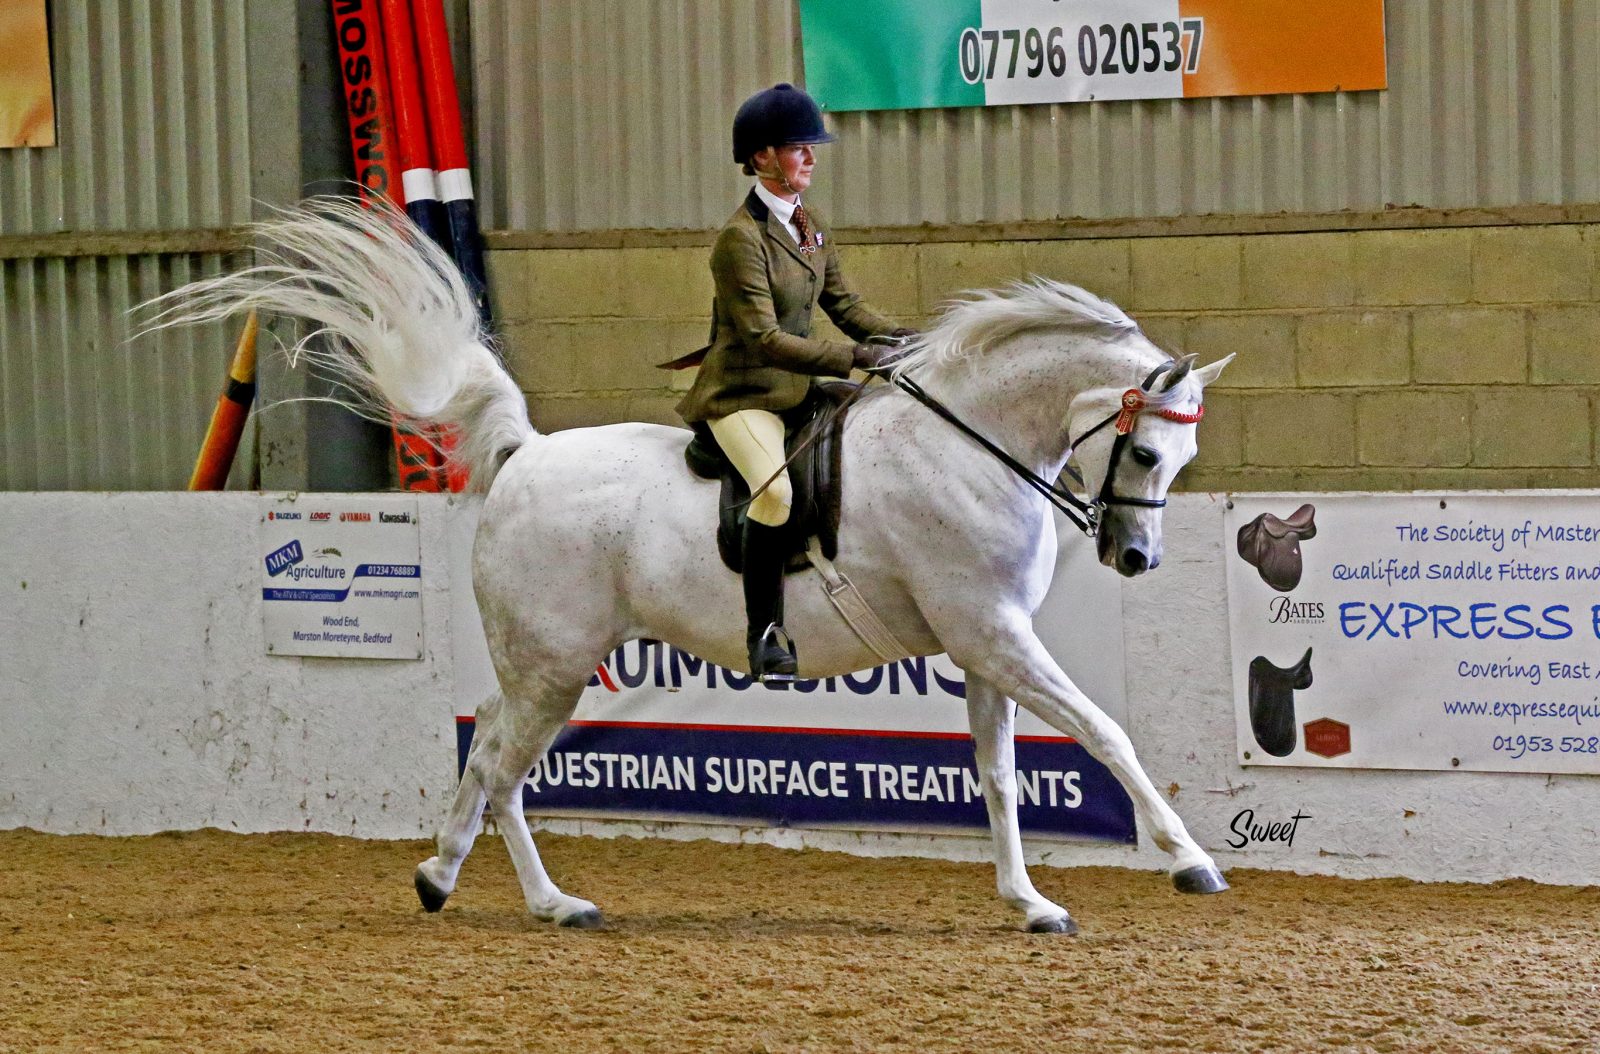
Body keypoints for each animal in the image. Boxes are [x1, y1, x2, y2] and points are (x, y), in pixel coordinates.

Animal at [147, 199, 1234, 934]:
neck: (966, 443)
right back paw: (549, 902)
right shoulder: (996, 634)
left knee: (489, 746)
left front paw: (1029, 901)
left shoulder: (983, 642)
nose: (1134, 556)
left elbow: (1002, 777)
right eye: (1145, 451)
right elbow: (1105, 734)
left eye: (1182, 459)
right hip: (553, 666)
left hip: (540, 662)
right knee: (499, 765)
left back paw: (443, 877)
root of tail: (523, 455)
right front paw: (1190, 861)